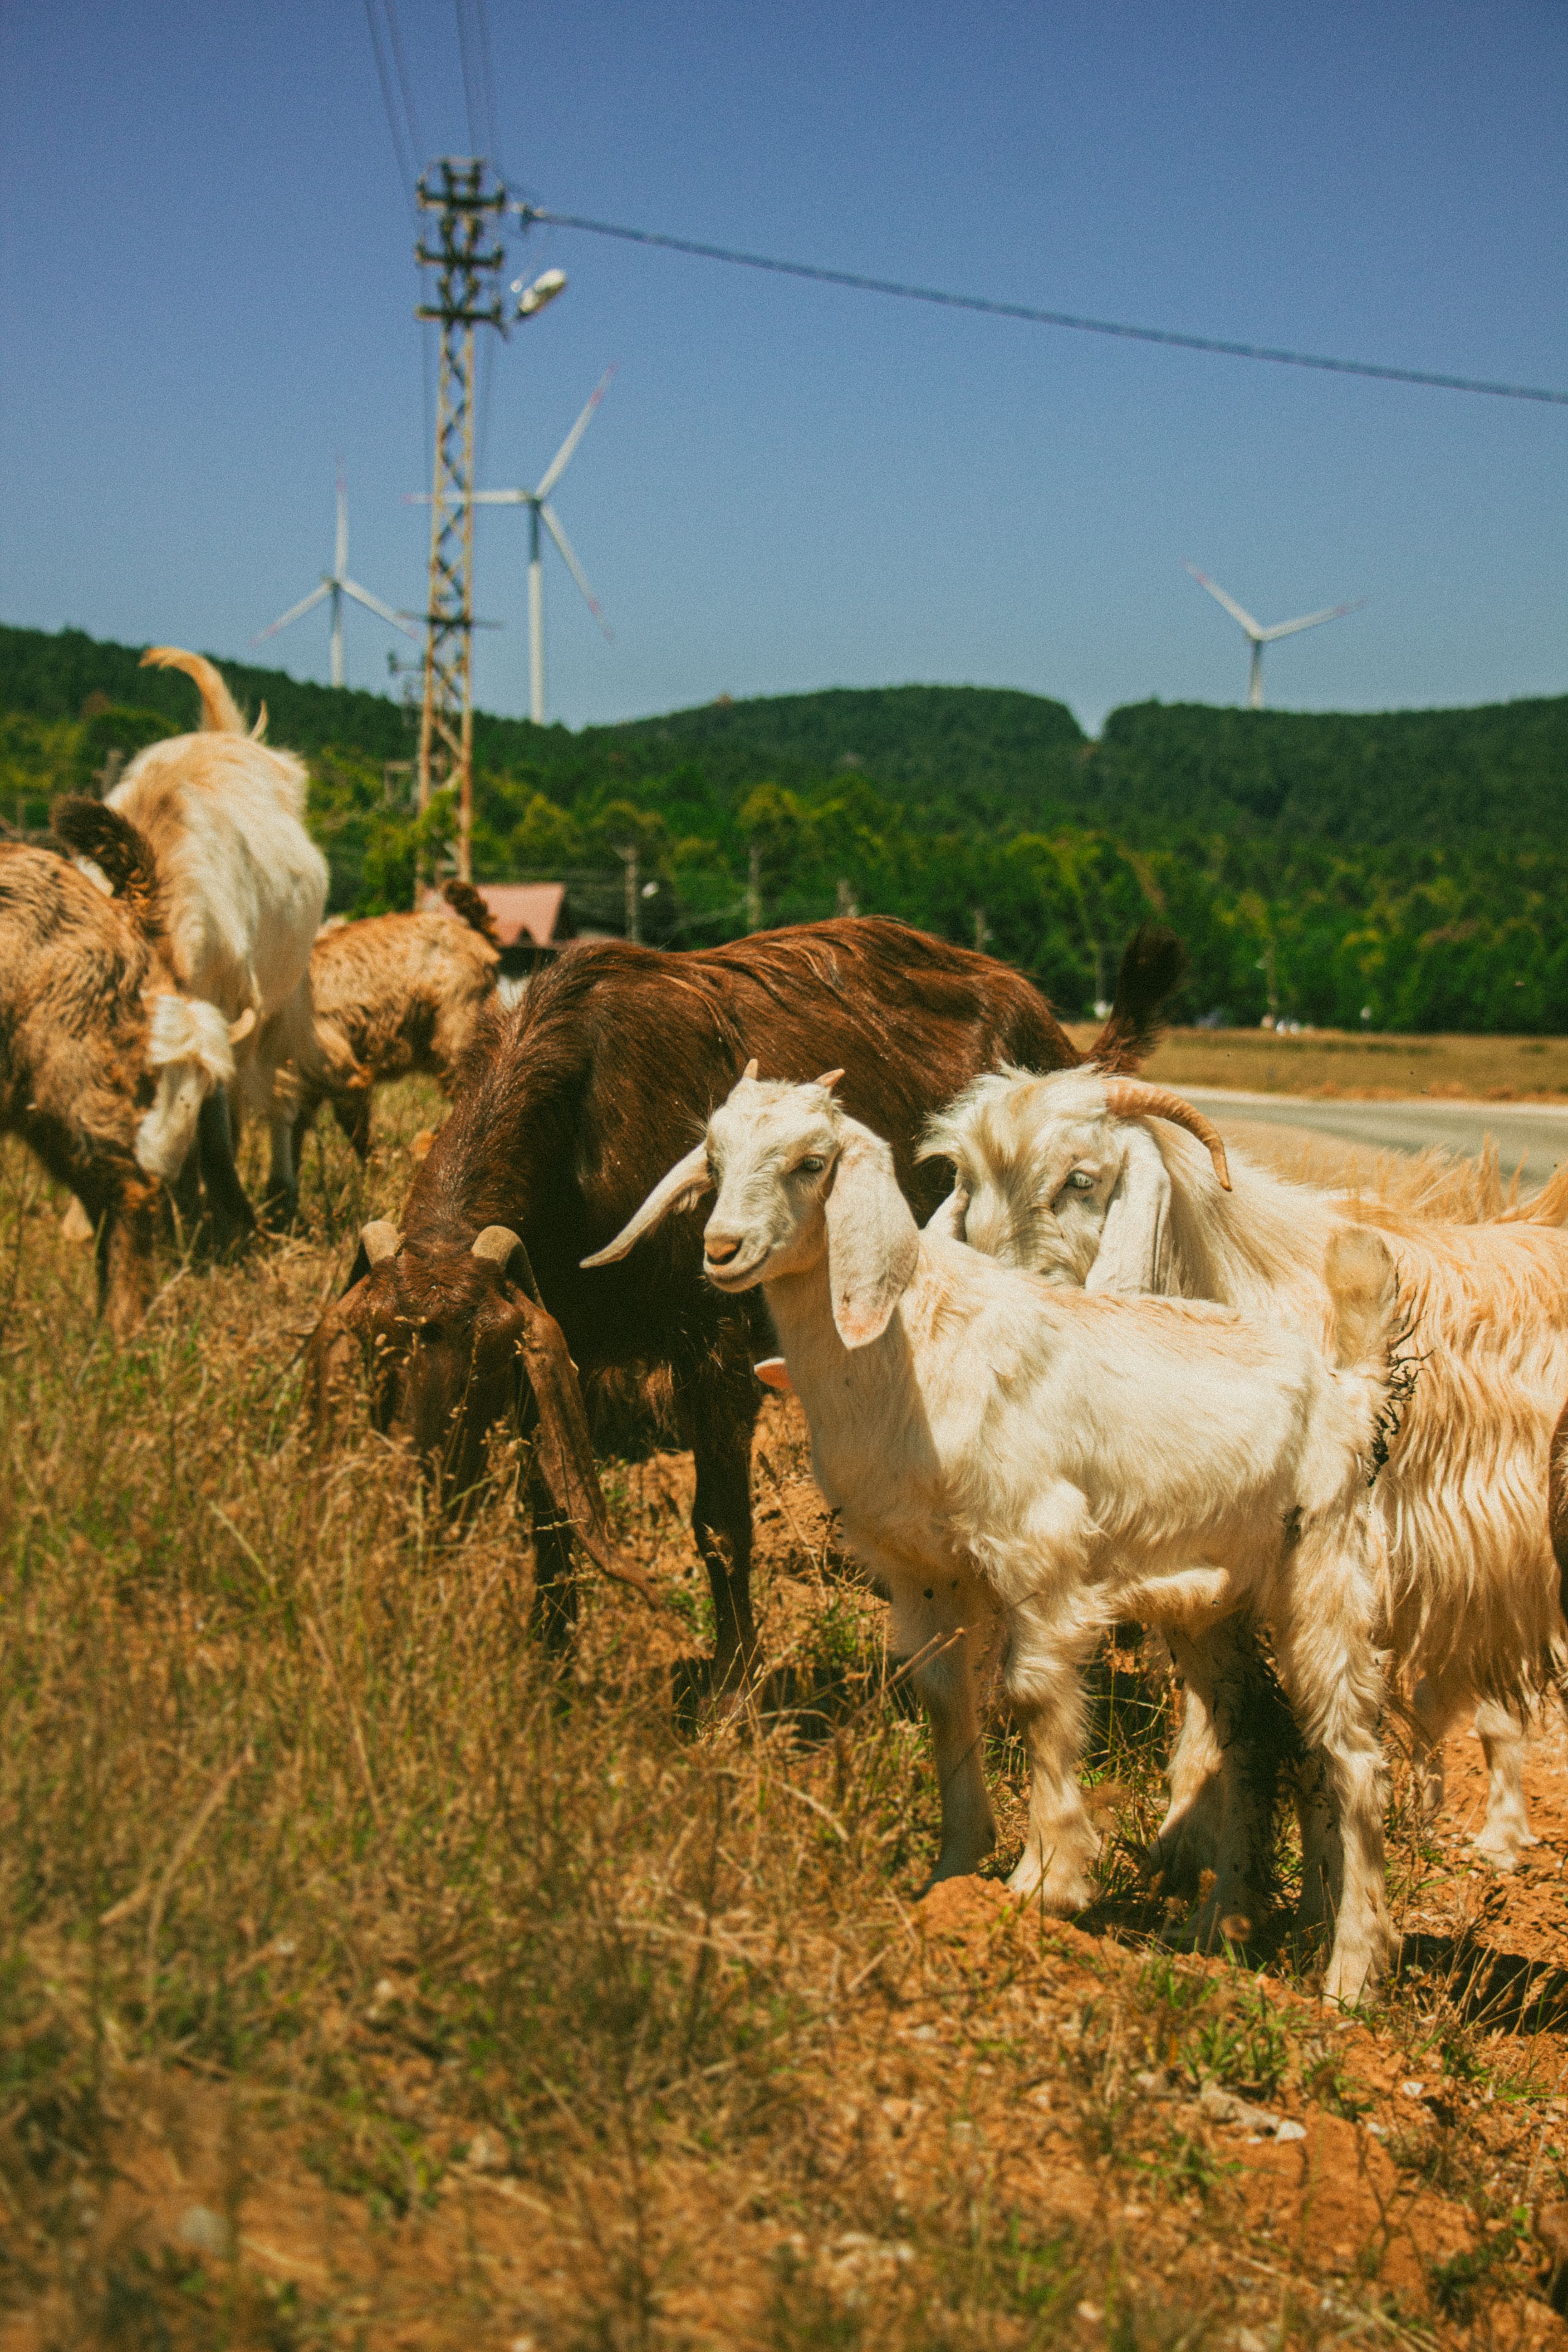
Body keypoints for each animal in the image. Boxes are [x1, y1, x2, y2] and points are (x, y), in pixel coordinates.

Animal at [107, 649, 329, 1234]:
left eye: (193, 1089)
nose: (154, 1174)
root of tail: (224, 735)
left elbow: (218, 1128)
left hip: (283, 1004)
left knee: (280, 1100)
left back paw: (279, 1193)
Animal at [306, 918, 1184, 1680]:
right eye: (377, 1352)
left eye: (483, 1361)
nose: (421, 1505)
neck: (590, 1123)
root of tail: (1057, 1043)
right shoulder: (561, 1349)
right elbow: (550, 1517)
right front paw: (548, 1671)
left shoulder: (715, 1351)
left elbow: (720, 1526)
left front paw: (733, 1689)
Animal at [586, 1071, 1401, 2004]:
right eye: (714, 1160)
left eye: (812, 1162)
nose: (723, 1248)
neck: (913, 1344)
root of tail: (1348, 1386)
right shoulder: (919, 1569)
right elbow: (944, 1698)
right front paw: (953, 1868)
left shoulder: (1039, 1549)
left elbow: (1032, 1696)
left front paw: (1046, 1880)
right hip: (1208, 1598)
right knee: (1252, 1730)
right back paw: (1217, 1929)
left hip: (1323, 1574)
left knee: (1352, 1755)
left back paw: (1348, 1975)